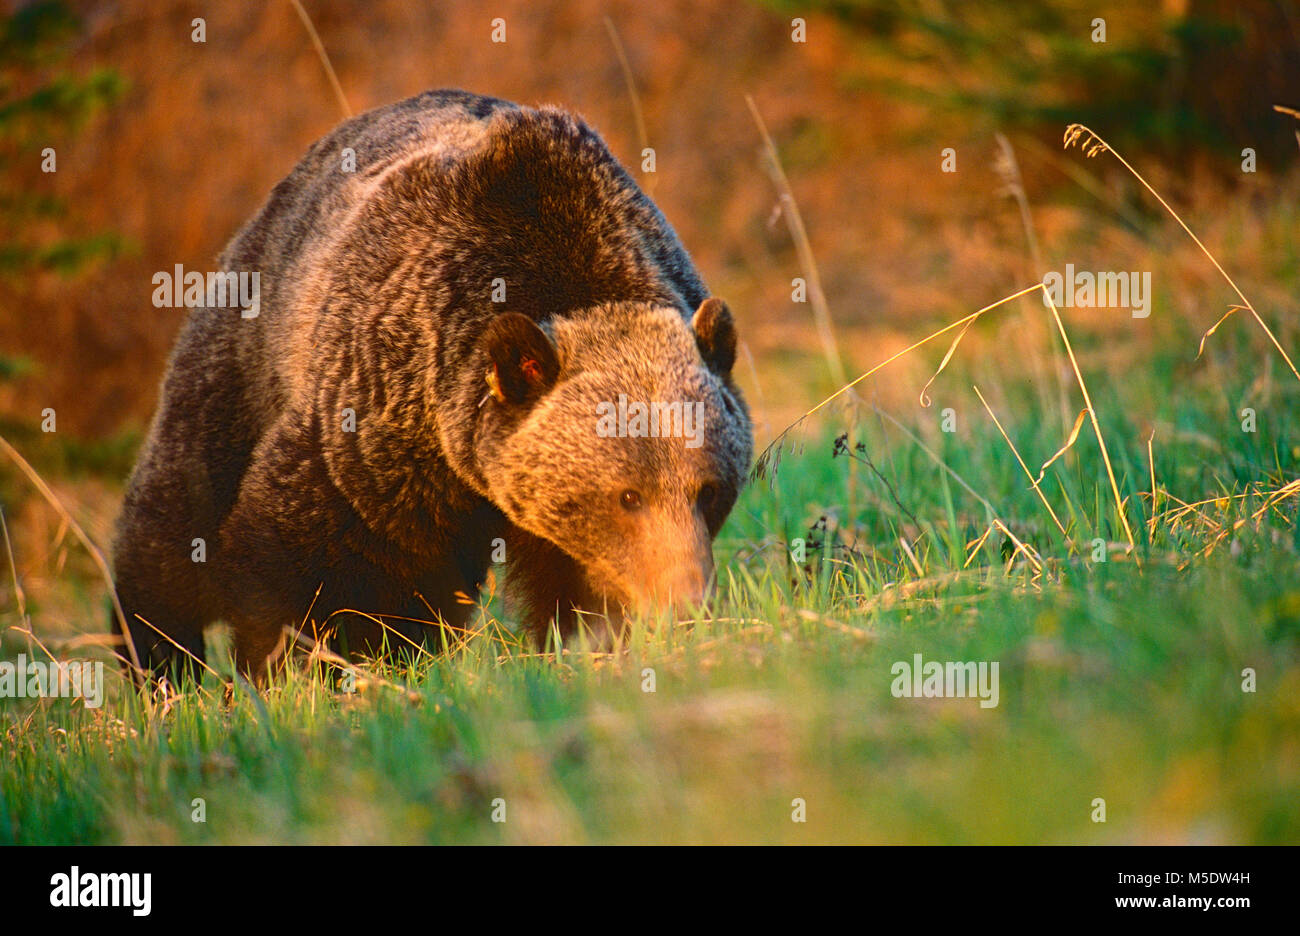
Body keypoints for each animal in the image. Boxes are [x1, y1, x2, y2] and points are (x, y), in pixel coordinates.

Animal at [111, 88, 752, 682]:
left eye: (708, 490)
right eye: (627, 496)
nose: (687, 601)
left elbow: (574, 592)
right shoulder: (373, 428)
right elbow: (307, 565)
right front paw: (302, 670)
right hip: (246, 349)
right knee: (173, 517)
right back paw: (158, 659)